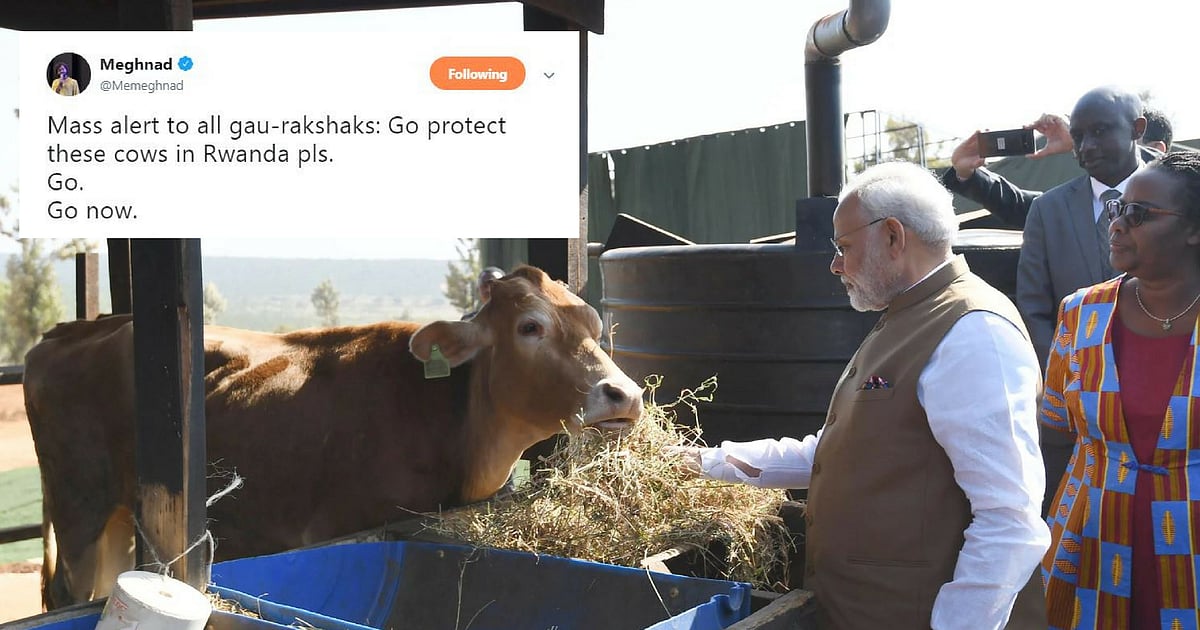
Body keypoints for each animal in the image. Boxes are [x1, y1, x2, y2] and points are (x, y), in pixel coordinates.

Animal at [22, 266, 644, 609]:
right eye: (530, 326)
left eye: (594, 325)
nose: (626, 395)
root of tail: (75, 329)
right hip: (80, 511)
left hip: (115, 518)